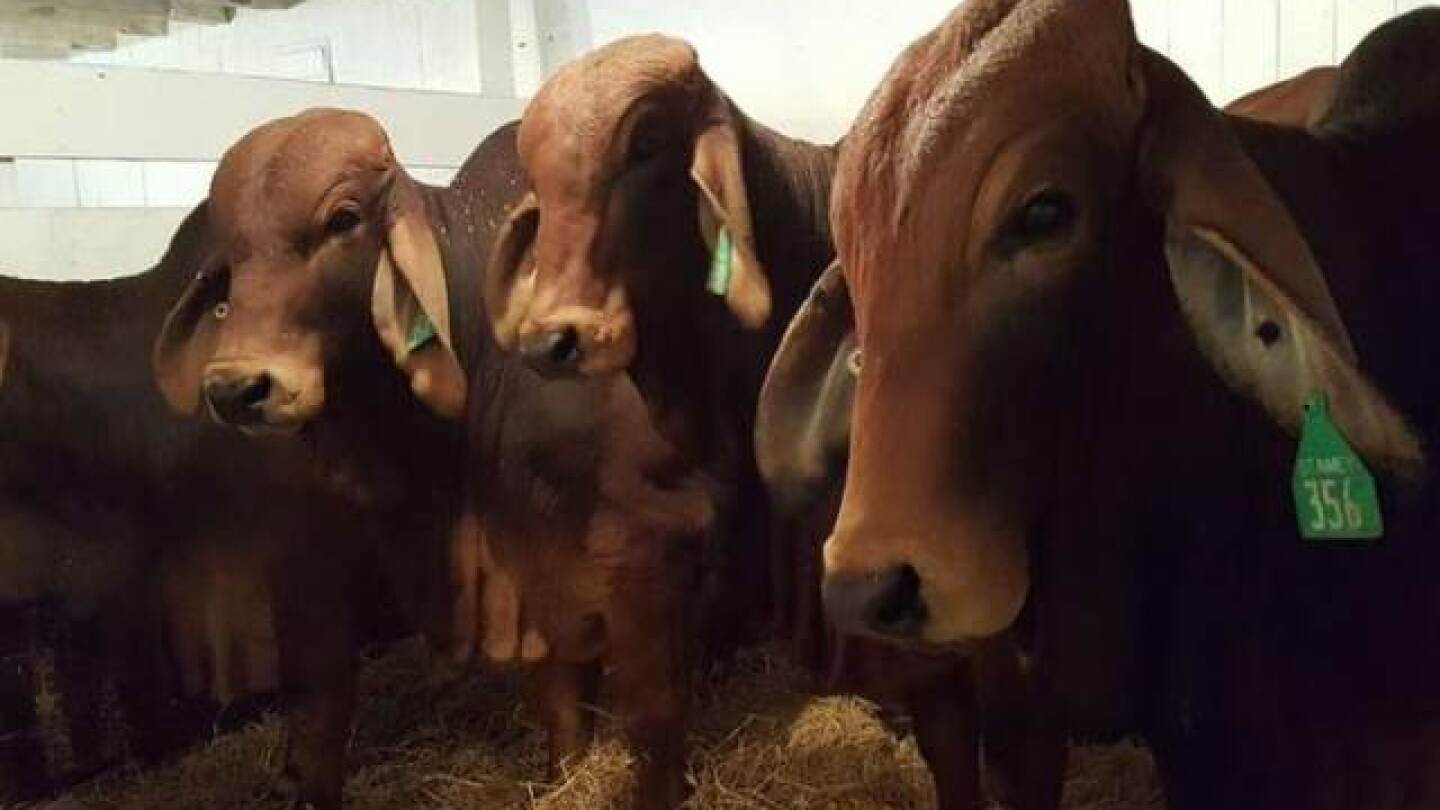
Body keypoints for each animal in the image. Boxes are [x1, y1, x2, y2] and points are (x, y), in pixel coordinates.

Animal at [151, 109, 713, 810]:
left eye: (343, 219)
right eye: (229, 257)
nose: (237, 389)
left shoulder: (652, 545)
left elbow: (655, 704)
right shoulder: (531, 558)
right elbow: (559, 687)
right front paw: (563, 775)